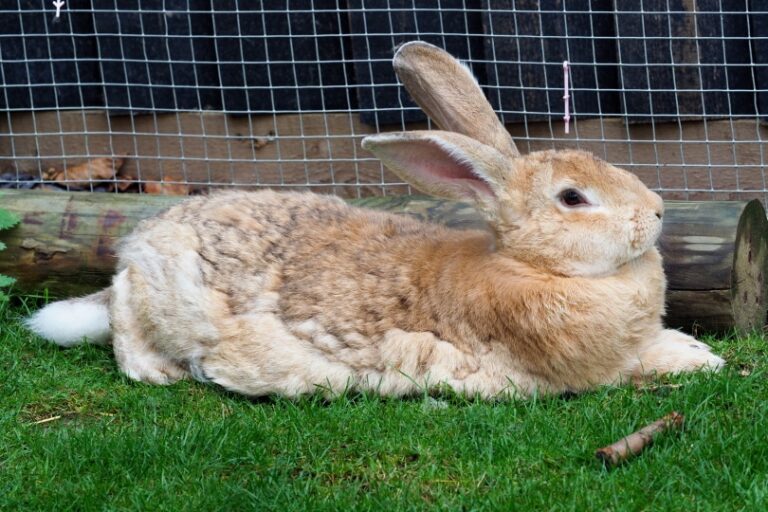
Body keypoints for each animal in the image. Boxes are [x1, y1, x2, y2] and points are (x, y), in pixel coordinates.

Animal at [25, 41, 724, 399]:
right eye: (573, 198)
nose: (657, 213)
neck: (530, 266)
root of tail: (146, 237)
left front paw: (698, 349)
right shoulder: (571, 371)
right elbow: (635, 366)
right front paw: (700, 362)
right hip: (155, 291)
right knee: (124, 319)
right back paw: (155, 369)